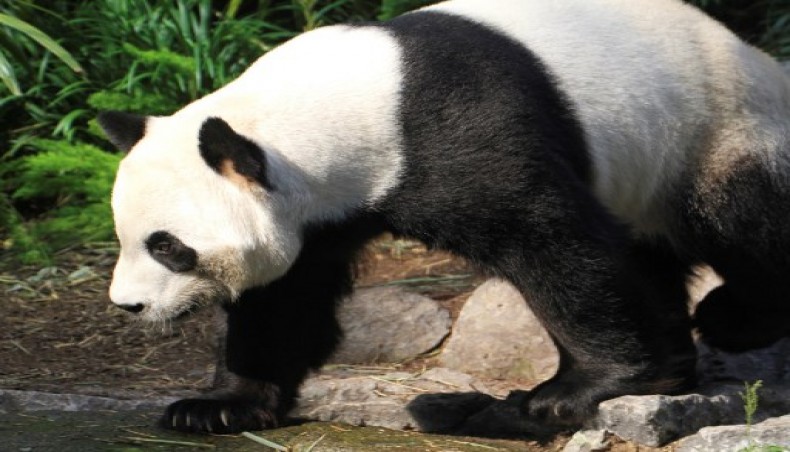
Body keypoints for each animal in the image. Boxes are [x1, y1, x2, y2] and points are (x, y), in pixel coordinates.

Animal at [98, 0, 790, 435]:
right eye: (126, 237)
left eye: (168, 246)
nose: (128, 306)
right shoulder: (319, 216)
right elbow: (284, 300)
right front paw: (215, 407)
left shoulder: (457, 134)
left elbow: (554, 242)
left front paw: (578, 390)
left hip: (716, 128)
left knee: (743, 223)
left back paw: (731, 319)